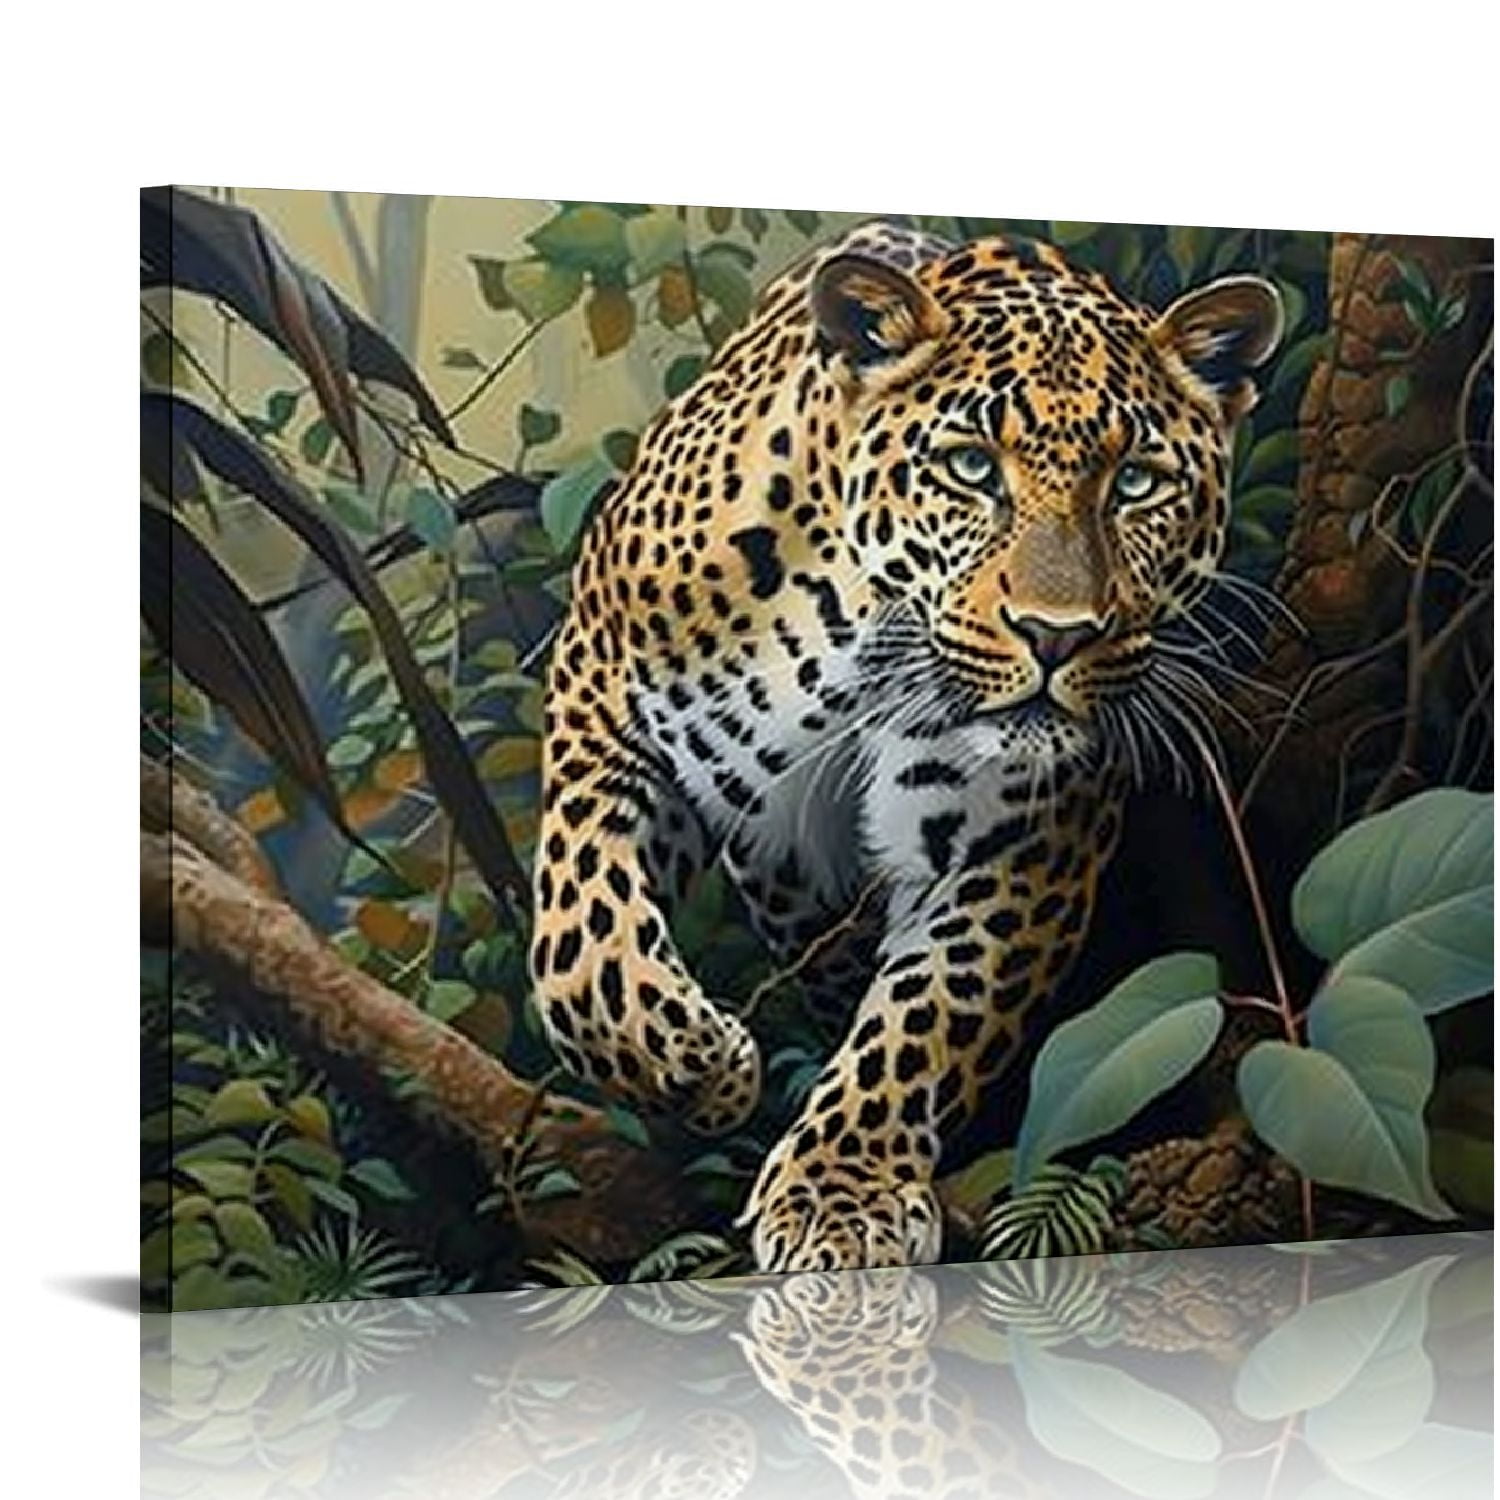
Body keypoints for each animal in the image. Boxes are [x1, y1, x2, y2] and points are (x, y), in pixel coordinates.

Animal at [527, 217, 1282, 1273]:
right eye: (971, 467)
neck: (860, 635)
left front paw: (840, 1194)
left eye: (1137, 484)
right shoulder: (602, 685)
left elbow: (929, 1010)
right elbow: (582, 937)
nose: (1057, 636)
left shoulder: (1033, 836)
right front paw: (695, 1067)